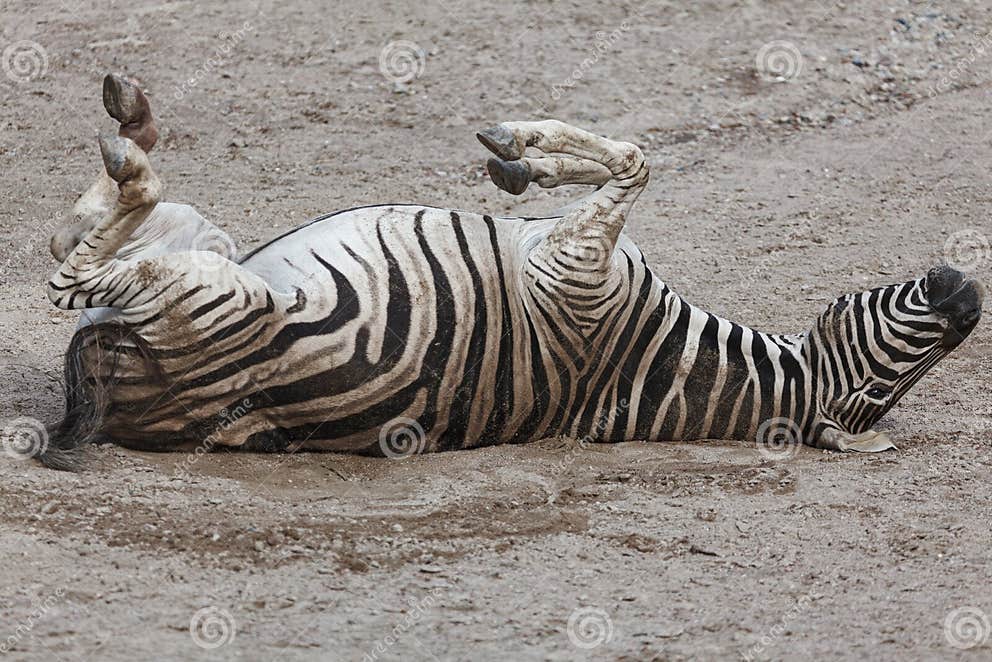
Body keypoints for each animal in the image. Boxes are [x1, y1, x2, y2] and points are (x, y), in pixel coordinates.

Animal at [34, 74, 983, 470]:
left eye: (885, 383)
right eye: (906, 366)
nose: (970, 296)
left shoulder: (575, 264)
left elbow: (635, 161)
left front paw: (525, 148)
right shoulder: (570, 254)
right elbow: (627, 159)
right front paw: (523, 153)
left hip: (225, 293)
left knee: (71, 271)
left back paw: (131, 153)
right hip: (213, 248)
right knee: (71, 242)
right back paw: (133, 122)